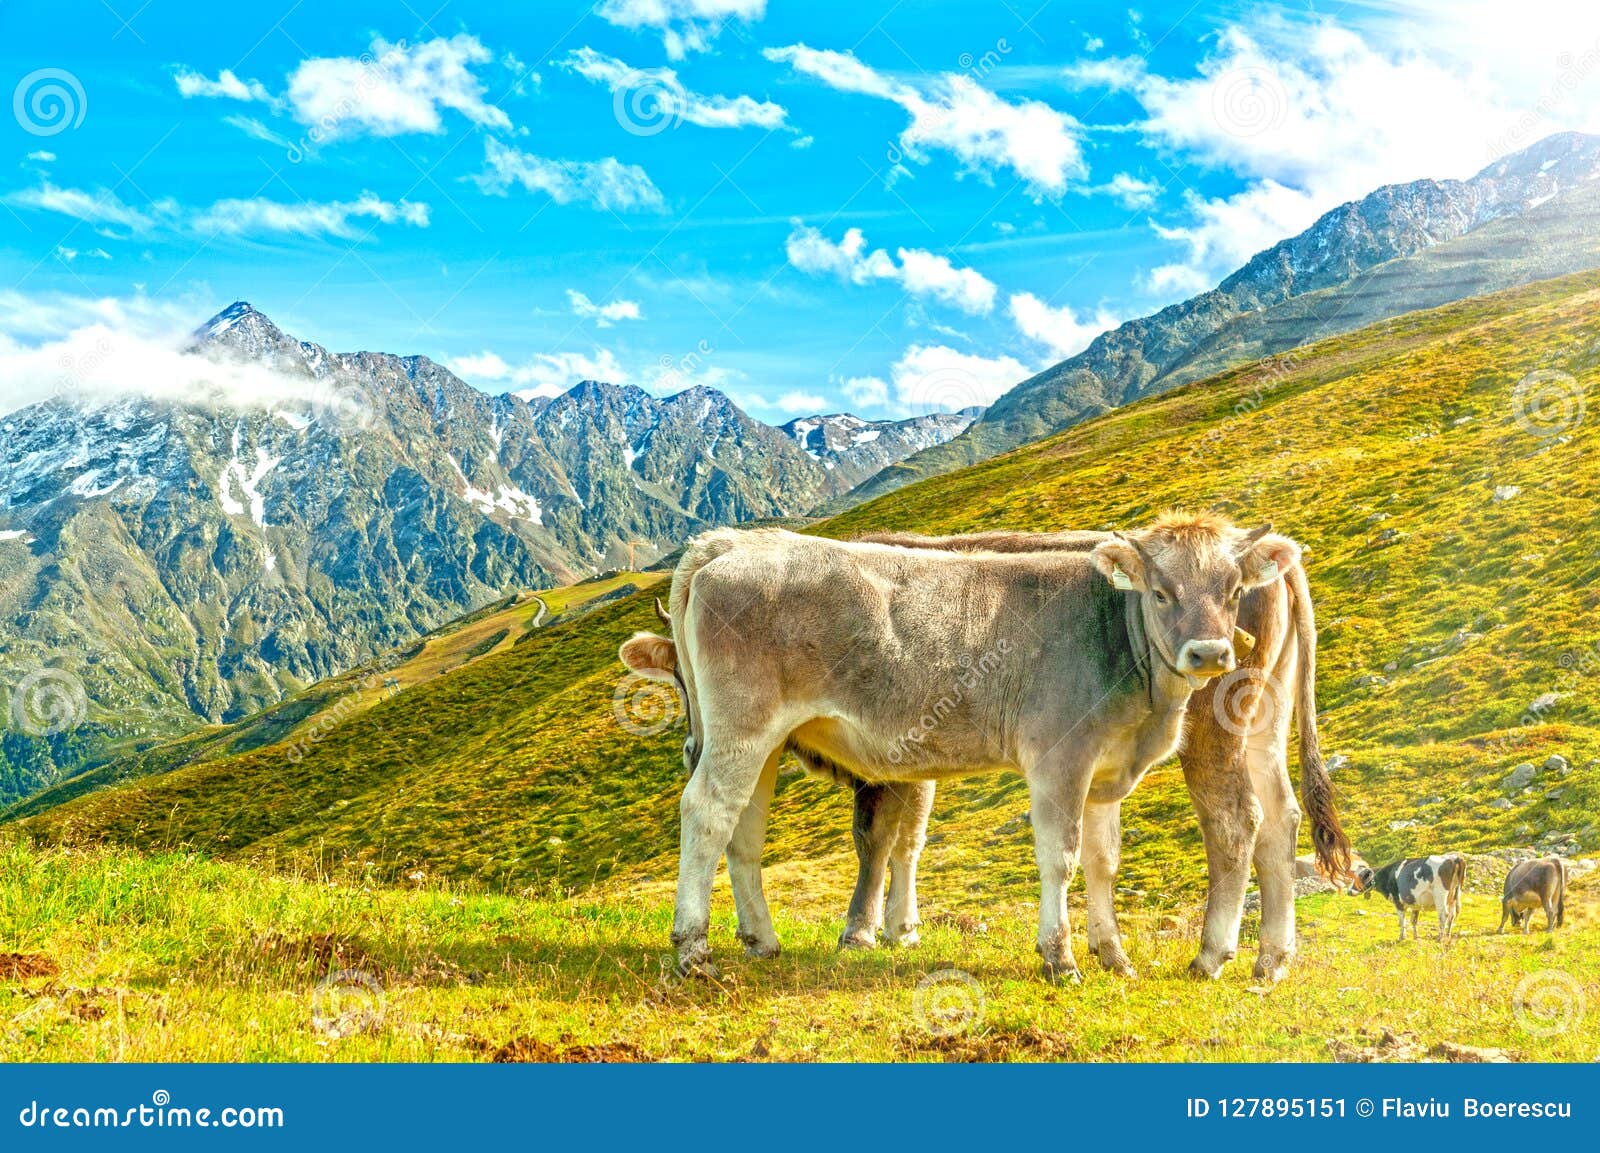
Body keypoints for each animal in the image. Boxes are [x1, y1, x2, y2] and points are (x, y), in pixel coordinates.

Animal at [619, 511, 1348, 981]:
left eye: (1232, 590)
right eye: (1162, 591)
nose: (1212, 653)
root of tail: (733, 542)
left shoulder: (1103, 764)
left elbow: (1102, 859)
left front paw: (1112, 955)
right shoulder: (1058, 757)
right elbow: (1058, 855)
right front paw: (1061, 958)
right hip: (742, 728)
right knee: (709, 812)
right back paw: (693, 950)